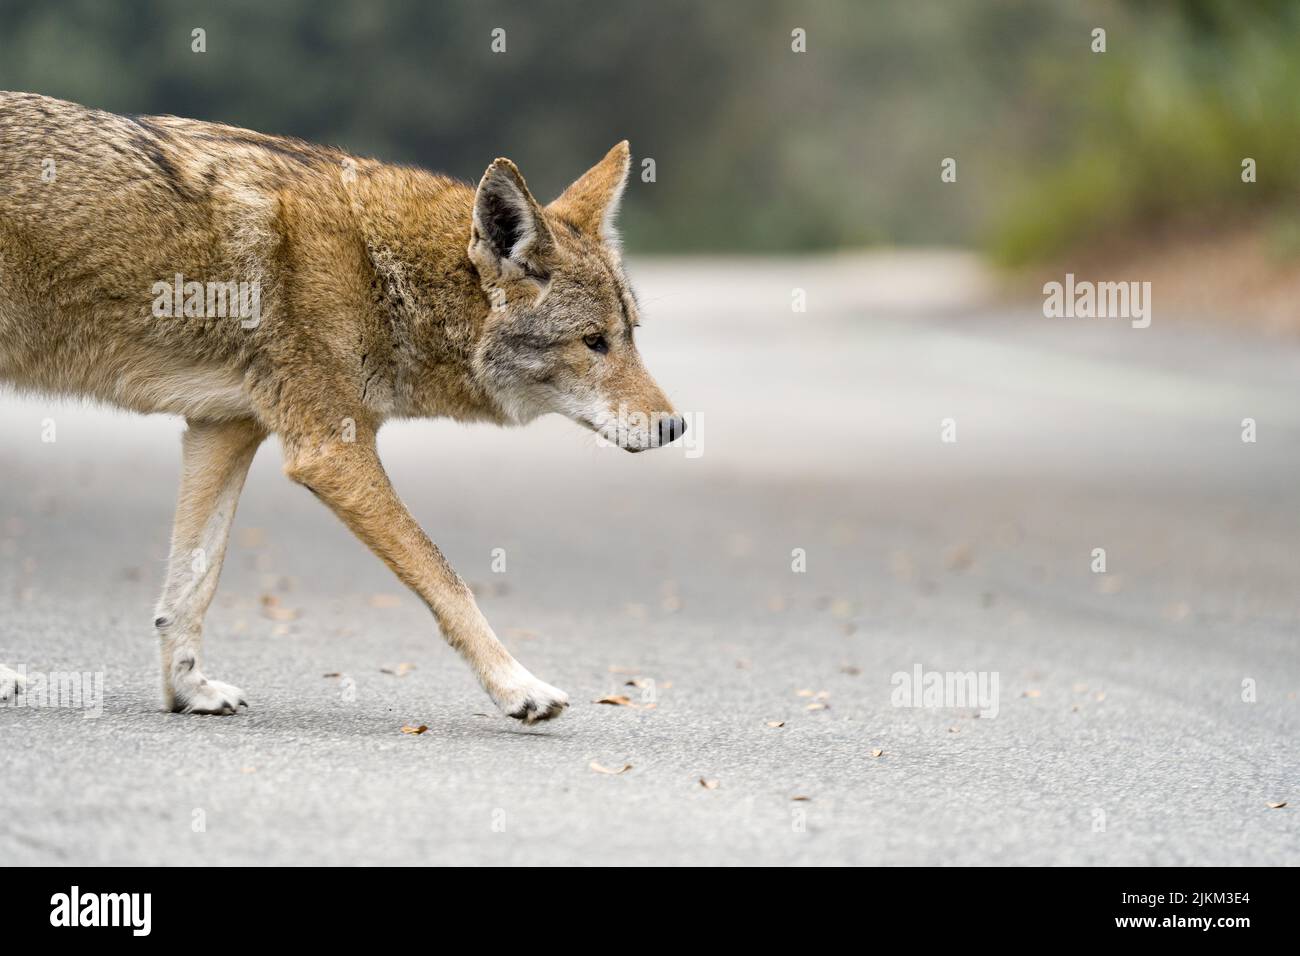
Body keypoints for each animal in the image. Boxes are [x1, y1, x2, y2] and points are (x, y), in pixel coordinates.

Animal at [0, 92, 685, 723]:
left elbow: (194, 582)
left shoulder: (223, 431)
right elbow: (448, 579)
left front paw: (188, 691)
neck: (382, 274)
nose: (676, 427)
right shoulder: (332, 452)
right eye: (593, 342)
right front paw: (519, 686)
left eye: (629, 334)